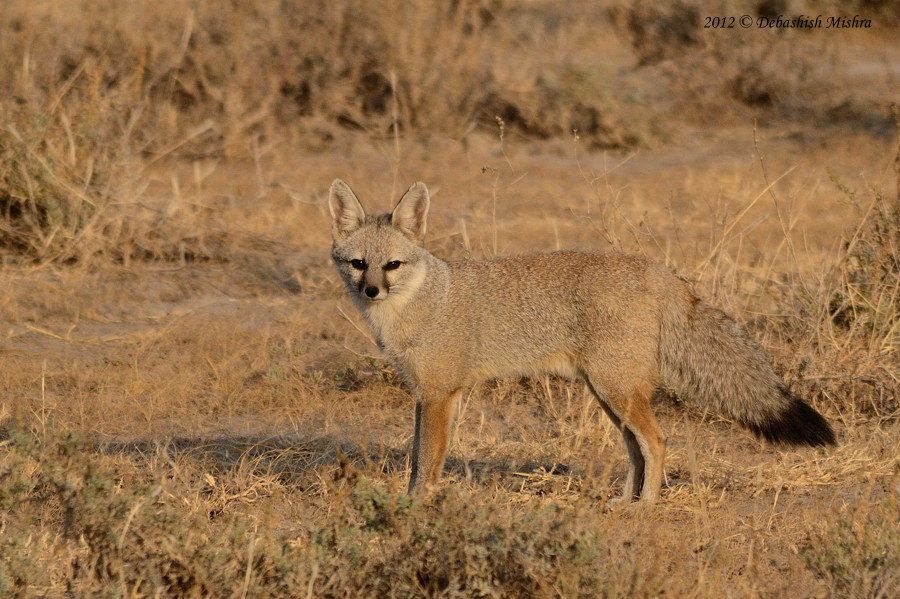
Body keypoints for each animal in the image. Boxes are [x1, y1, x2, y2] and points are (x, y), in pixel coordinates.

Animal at [326, 179, 836, 506]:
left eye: (392, 265)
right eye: (358, 264)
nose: (371, 291)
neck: (420, 304)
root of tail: (659, 271)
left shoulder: (439, 396)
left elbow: (426, 462)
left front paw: (415, 507)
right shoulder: (424, 396)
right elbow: (417, 457)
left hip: (617, 392)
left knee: (657, 442)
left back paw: (646, 508)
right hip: (609, 395)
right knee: (636, 449)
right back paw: (624, 501)